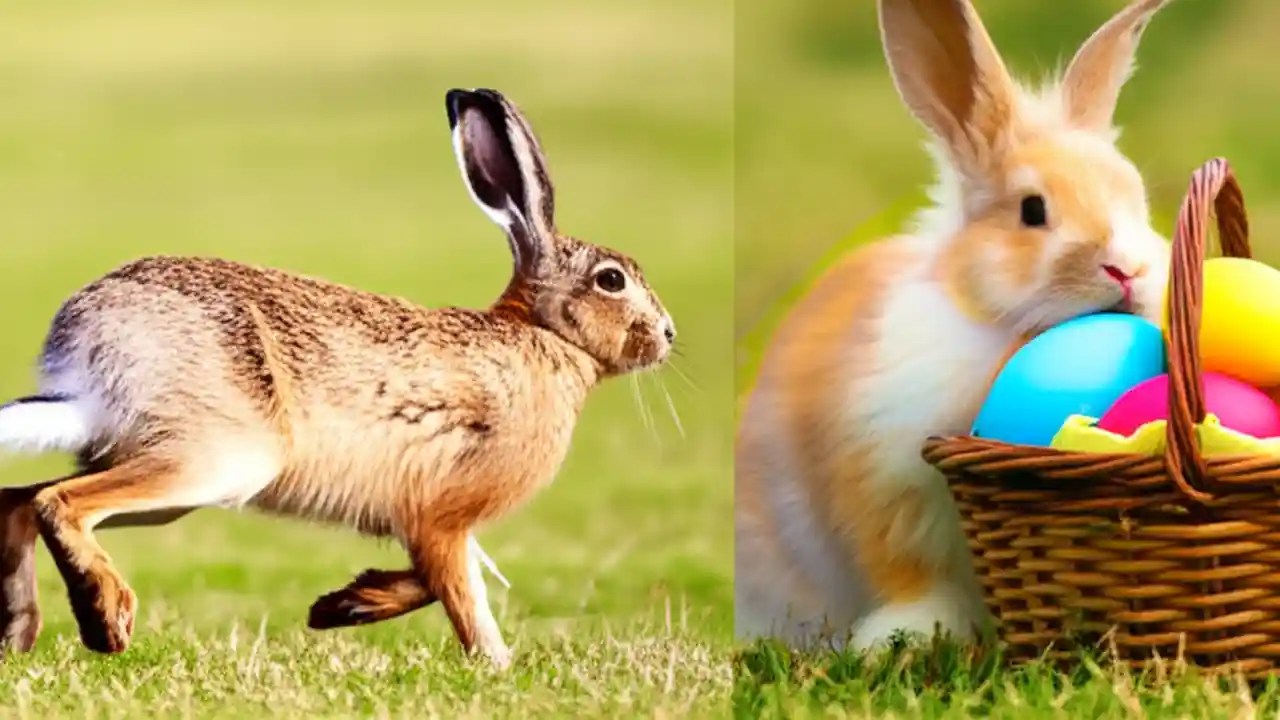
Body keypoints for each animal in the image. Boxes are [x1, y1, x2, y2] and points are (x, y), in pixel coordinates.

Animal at [0, 87, 676, 669]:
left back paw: (20, 633)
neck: (547, 337)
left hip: (166, 473)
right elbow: (459, 591)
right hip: (220, 457)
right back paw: (106, 621)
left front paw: (342, 606)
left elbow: (433, 580)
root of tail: (81, 359)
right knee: (58, 502)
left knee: (21, 499)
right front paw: (496, 664)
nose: (667, 335)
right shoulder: (442, 515)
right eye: (611, 279)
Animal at [735, 0, 1174, 651]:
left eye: (1136, 199)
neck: (1000, 328)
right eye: (1032, 210)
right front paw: (909, 635)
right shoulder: (881, 476)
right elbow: (907, 570)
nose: (1128, 270)